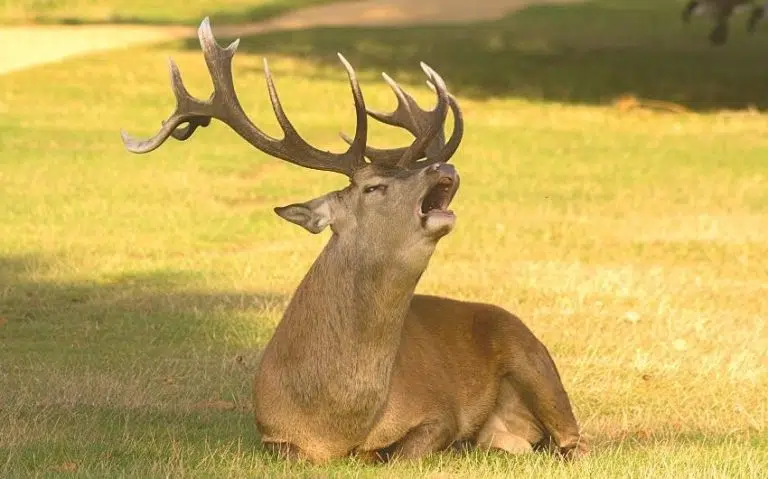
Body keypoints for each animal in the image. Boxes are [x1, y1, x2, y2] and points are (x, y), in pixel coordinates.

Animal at [121, 18, 587, 464]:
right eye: (374, 186)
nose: (444, 167)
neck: (338, 422)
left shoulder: (440, 411)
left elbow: (401, 453)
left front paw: (401, 450)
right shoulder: (271, 434)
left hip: (534, 360)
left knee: (574, 441)